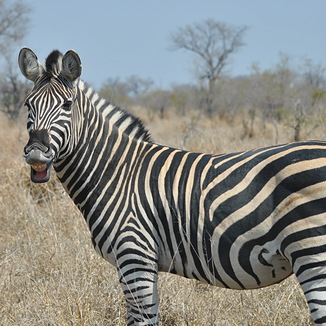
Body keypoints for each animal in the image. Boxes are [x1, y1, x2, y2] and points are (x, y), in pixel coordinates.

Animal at [18, 47, 326, 324]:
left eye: (67, 105)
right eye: (28, 105)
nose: (36, 153)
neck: (116, 172)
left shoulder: (135, 256)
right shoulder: (143, 262)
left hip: (312, 254)